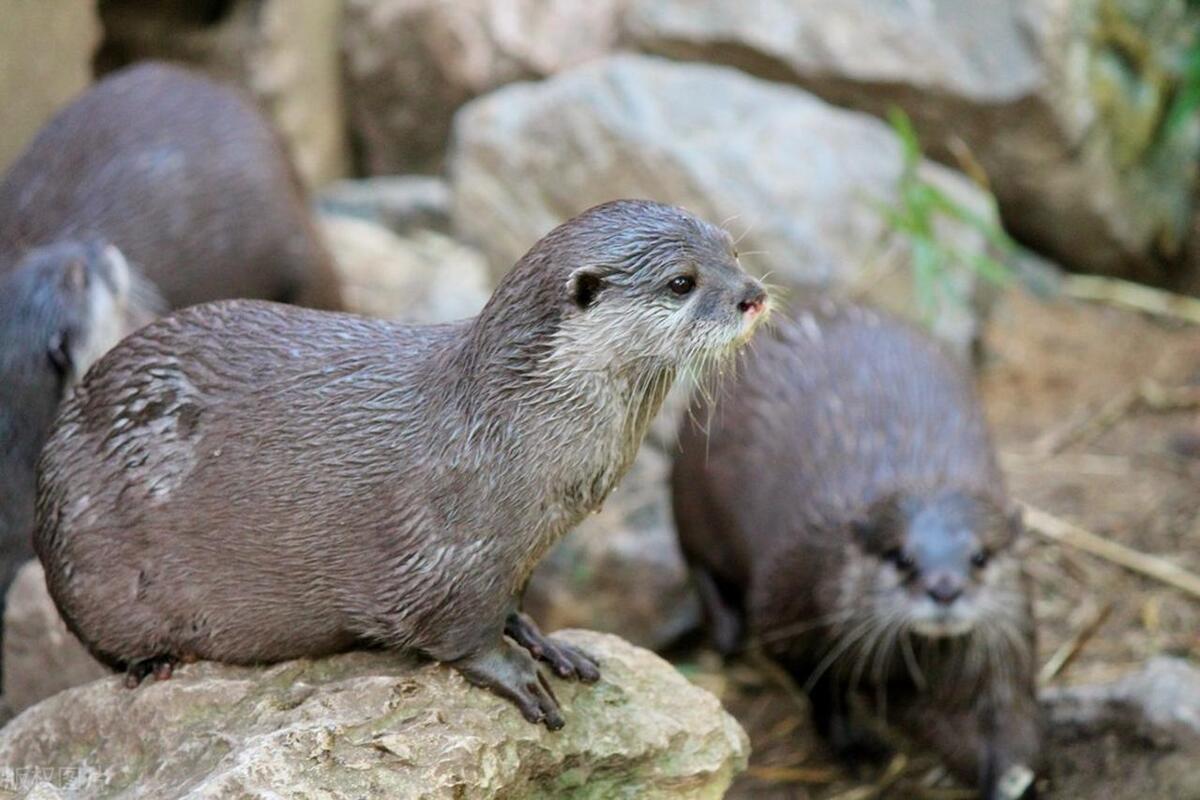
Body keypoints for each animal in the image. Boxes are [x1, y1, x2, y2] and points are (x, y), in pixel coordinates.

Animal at [36, 200, 768, 728]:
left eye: (732, 252)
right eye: (682, 282)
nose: (753, 294)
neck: (509, 426)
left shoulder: (519, 552)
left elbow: (512, 606)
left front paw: (548, 642)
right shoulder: (451, 550)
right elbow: (455, 630)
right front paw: (515, 672)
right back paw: (154, 663)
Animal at [671, 298, 1040, 799]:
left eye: (979, 557)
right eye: (902, 557)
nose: (945, 589)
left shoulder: (1008, 646)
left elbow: (1005, 720)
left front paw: (1010, 776)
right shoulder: (790, 604)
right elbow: (817, 686)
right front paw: (856, 748)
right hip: (692, 485)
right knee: (698, 560)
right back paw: (728, 631)